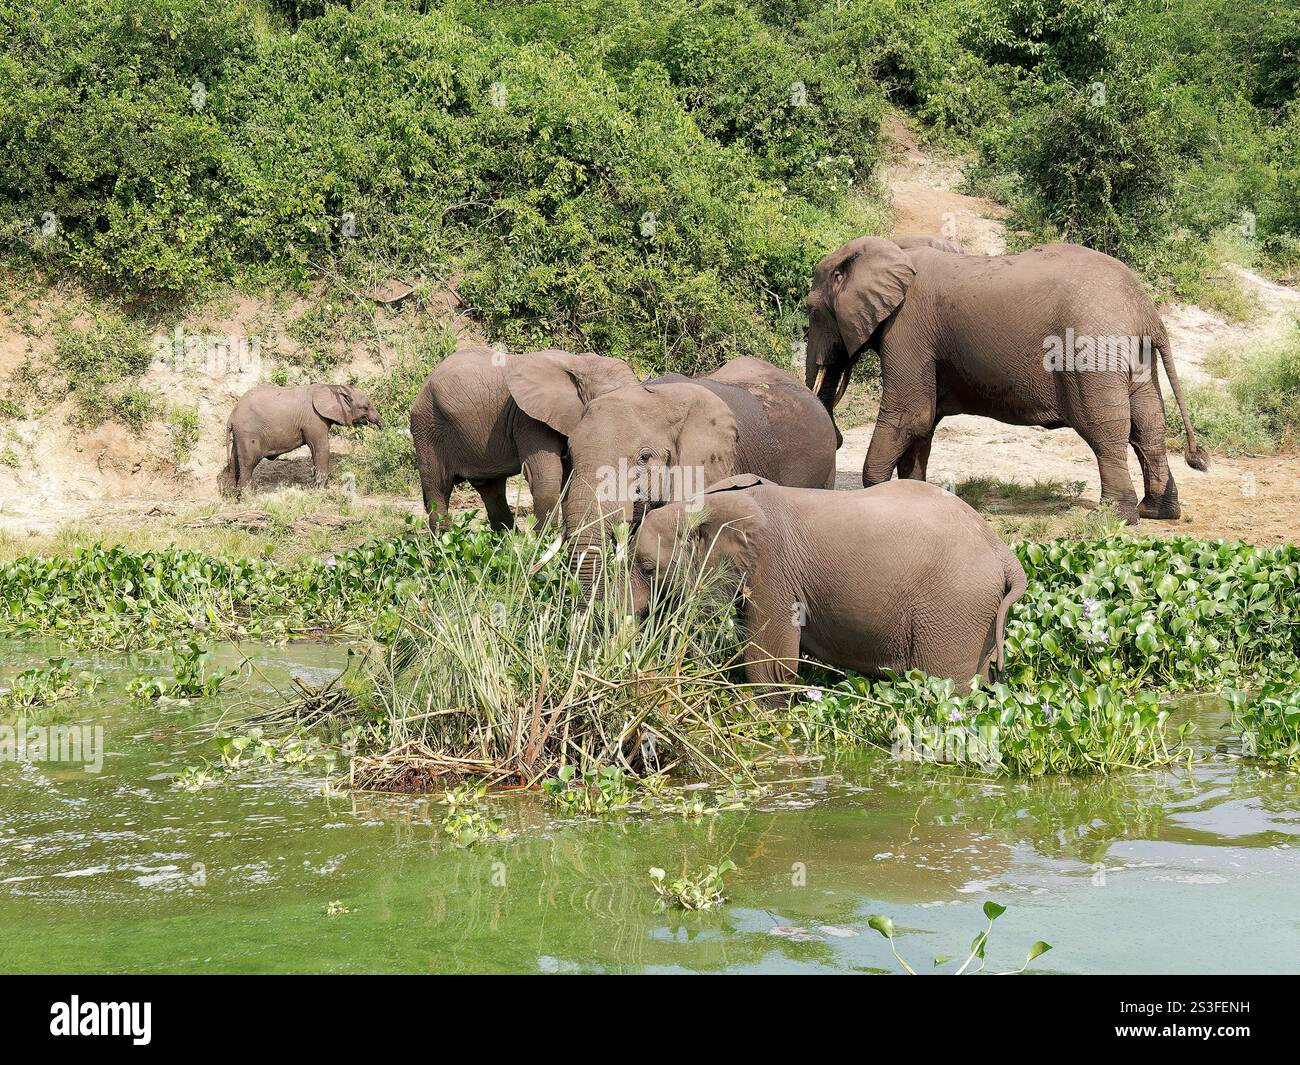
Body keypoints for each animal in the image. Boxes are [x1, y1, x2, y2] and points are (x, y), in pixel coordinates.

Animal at [219, 383, 381, 499]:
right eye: (366, 407)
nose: (381, 427)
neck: (332, 387)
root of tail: (231, 417)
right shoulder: (314, 419)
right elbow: (321, 448)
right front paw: (323, 492)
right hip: (248, 433)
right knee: (248, 463)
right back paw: (249, 500)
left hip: (239, 436)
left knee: (234, 463)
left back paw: (230, 498)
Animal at [410, 346, 639, 531]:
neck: (580, 362)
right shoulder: (528, 420)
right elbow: (546, 477)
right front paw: (543, 544)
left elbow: (569, 477)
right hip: (427, 428)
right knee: (438, 488)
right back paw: (445, 543)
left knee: (491, 489)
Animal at [630, 475, 1027, 700]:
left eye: (647, 569)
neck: (705, 503)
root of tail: (1004, 552)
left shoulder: (772, 571)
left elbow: (771, 669)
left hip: (954, 609)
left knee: (947, 689)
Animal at [805, 237, 1208, 524]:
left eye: (811, 310)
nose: (837, 438)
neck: (891, 248)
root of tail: (1146, 308)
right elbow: (925, 420)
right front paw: (912, 494)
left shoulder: (908, 328)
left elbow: (910, 413)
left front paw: (876, 495)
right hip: (1135, 354)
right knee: (1149, 422)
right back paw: (1156, 512)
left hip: (1092, 348)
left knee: (1104, 426)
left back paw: (1114, 519)